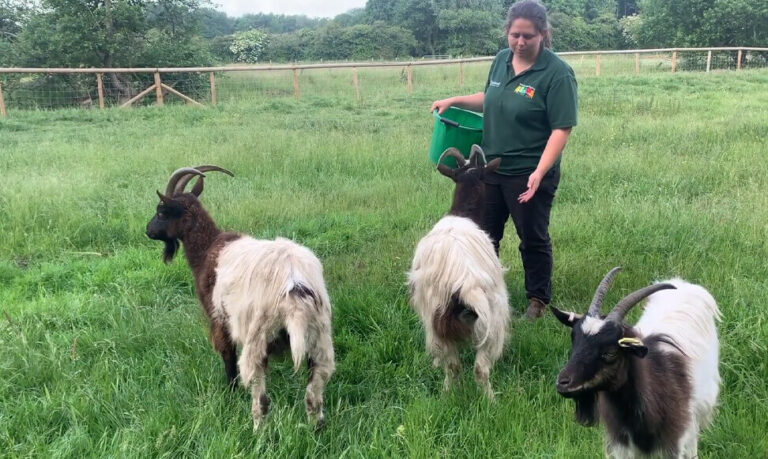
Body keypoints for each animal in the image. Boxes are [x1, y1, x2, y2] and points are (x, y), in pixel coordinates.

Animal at [145, 165, 335, 430]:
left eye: (161, 211)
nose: (148, 230)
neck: (207, 249)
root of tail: (294, 285)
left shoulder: (218, 317)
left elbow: (226, 354)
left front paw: (230, 391)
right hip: (319, 337)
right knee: (314, 395)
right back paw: (316, 430)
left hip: (258, 336)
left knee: (261, 396)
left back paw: (258, 431)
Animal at [407, 145, 509, 398]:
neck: (462, 214)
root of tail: (467, 284)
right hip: (492, 321)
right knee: (479, 369)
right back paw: (489, 400)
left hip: (437, 322)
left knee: (454, 366)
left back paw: (448, 394)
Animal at [551, 267, 721, 458]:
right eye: (575, 342)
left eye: (610, 353)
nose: (563, 382)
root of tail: (685, 286)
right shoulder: (621, 446)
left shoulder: (673, 443)